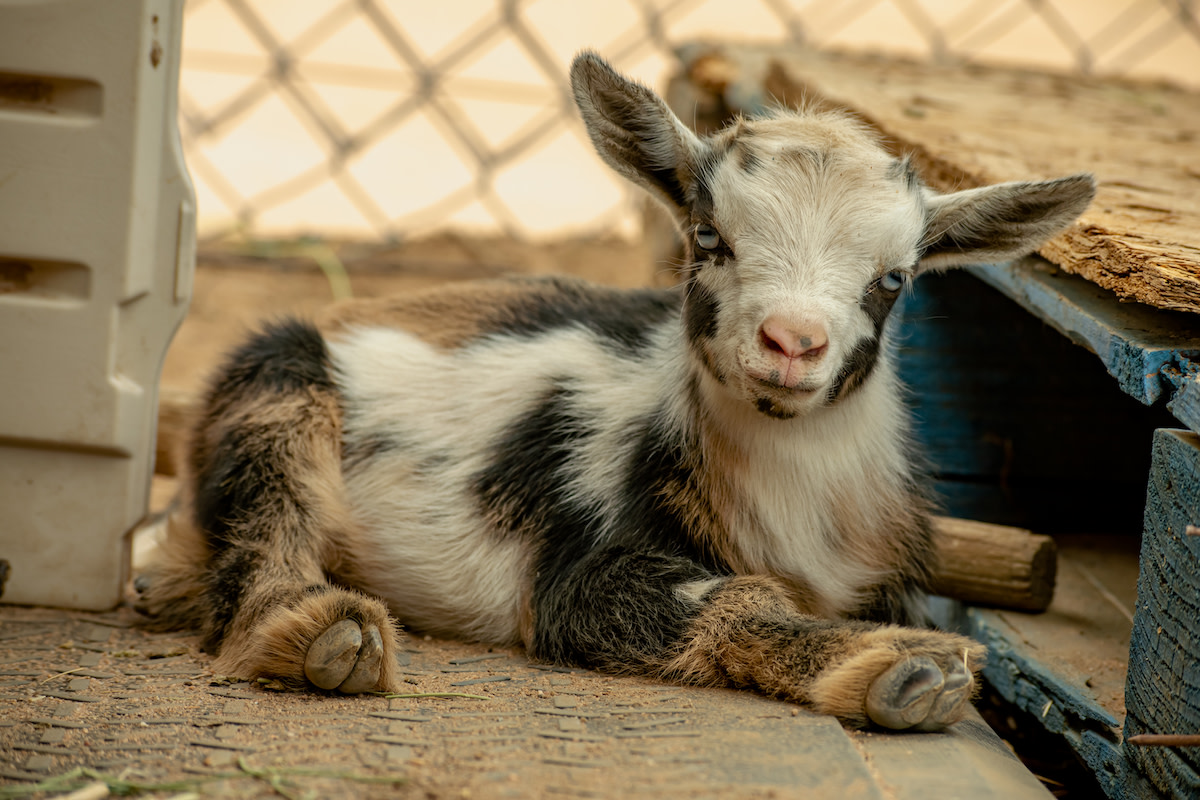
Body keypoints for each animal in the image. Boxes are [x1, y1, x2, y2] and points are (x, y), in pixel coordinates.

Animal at [136, 52, 1095, 730]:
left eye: (894, 279)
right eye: (709, 237)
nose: (792, 343)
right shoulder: (579, 575)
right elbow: (732, 597)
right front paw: (903, 671)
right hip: (278, 385)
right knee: (271, 514)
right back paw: (317, 631)